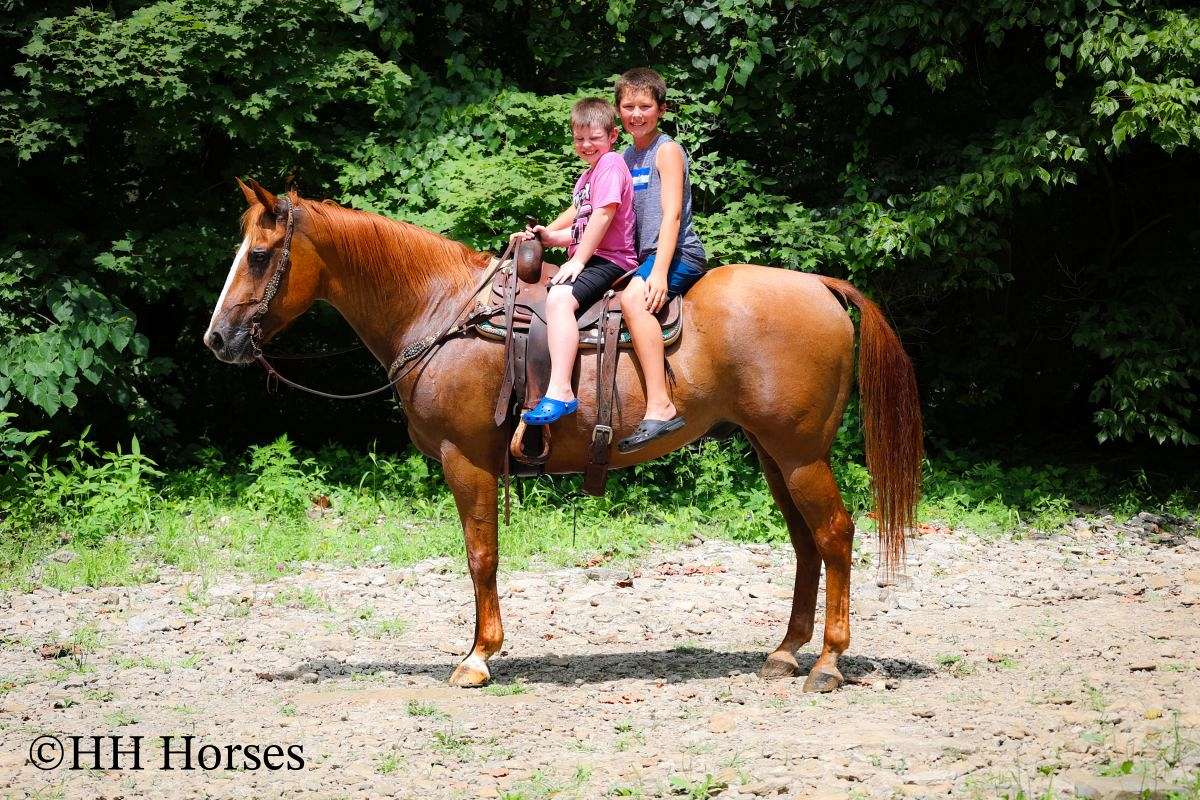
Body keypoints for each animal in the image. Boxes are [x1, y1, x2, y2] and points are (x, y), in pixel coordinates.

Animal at [204, 179, 923, 692]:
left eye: (260, 256)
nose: (218, 339)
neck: (442, 312)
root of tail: (821, 286)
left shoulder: (467, 460)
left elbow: (481, 556)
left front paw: (478, 656)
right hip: (775, 454)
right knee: (806, 545)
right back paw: (785, 652)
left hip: (800, 454)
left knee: (835, 536)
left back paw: (828, 662)